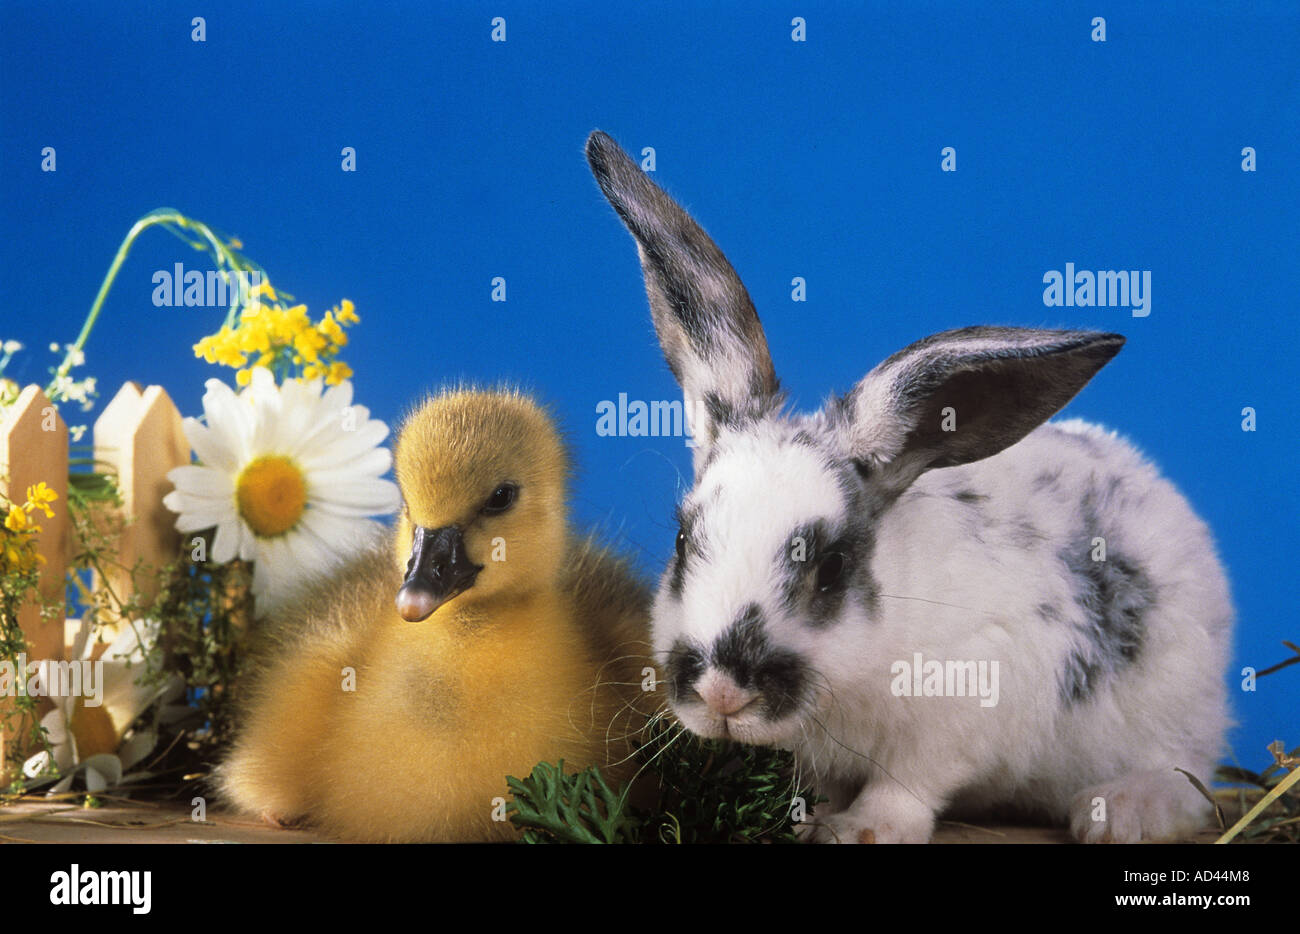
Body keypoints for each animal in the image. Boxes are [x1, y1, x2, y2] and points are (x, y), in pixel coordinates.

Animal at [584, 129, 1233, 844]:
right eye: (681, 542)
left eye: (834, 567)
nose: (723, 691)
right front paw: (816, 818)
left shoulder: (966, 701)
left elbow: (907, 786)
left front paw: (858, 830)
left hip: (1172, 708)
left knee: (1187, 778)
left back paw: (1123, 811)